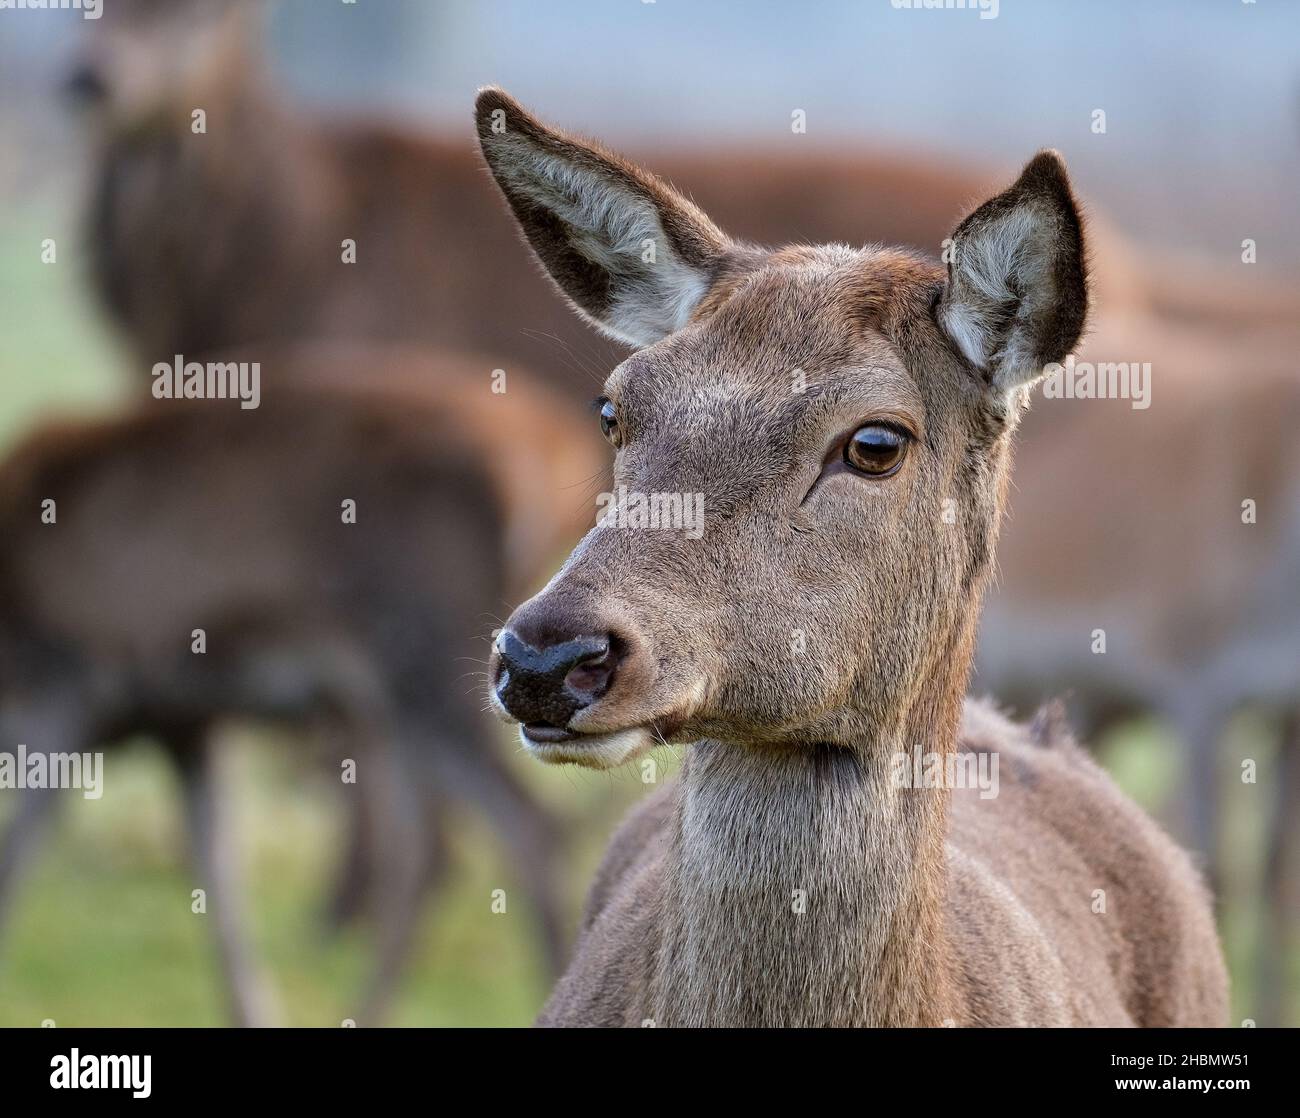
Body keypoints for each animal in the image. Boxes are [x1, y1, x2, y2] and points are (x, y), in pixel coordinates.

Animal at [0, 345, 604, 1026]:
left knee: (526, 827)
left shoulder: (66, 681)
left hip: (423, 659)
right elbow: (218, 872)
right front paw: (253, 1010)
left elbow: (16, 857)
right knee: (422, 851)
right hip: (391, 697)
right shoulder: (184, 720)